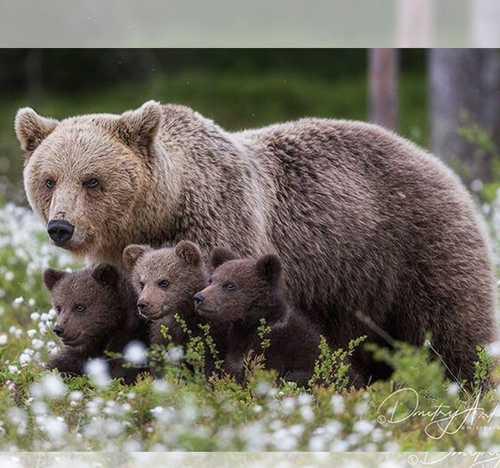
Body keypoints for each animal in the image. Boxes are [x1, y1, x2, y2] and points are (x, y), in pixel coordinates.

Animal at [15, 101, 496, 384]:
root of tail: (432, 158)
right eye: (49, 179)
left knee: (455, 326)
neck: (158, 211)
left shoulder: (219, 226)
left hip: (414, 246)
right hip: (354, 288)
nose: (60, 227)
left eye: (92, 180)